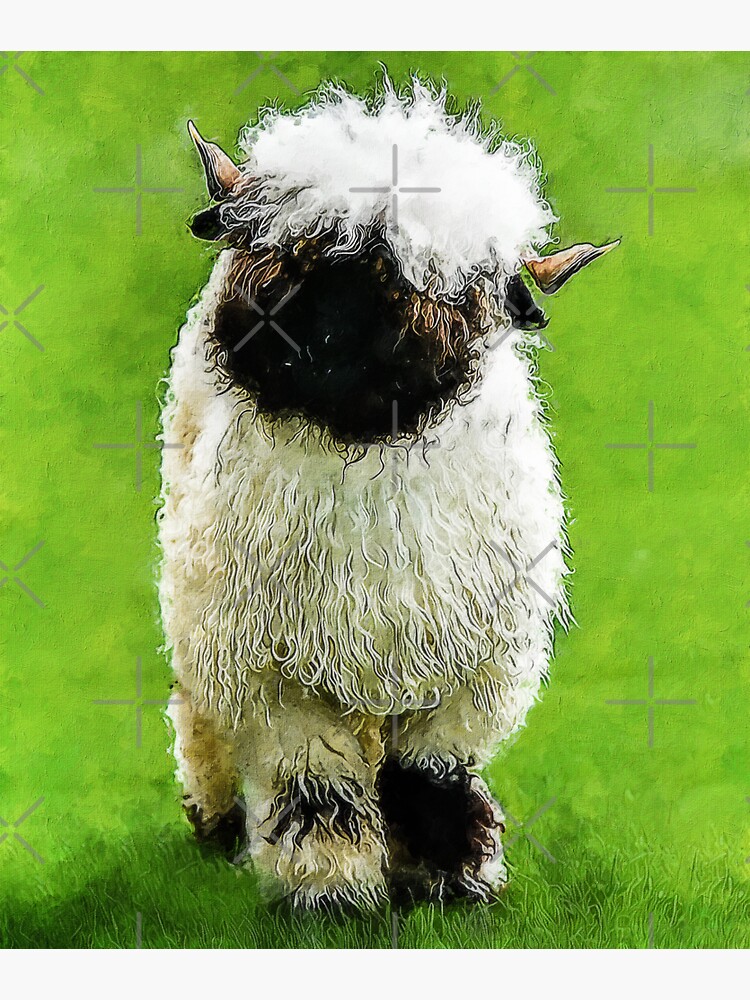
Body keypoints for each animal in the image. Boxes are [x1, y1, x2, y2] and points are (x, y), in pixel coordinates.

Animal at [158, 77, 617, 909]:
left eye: (433, 285)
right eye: (288, 249)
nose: (325, 329)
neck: (358, 444)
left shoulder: (467, 672)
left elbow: (430, 779)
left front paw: (451, 881)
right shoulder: (278, 677)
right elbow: (316, 788)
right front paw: (328, 893)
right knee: (201, 711)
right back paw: (214, 818)